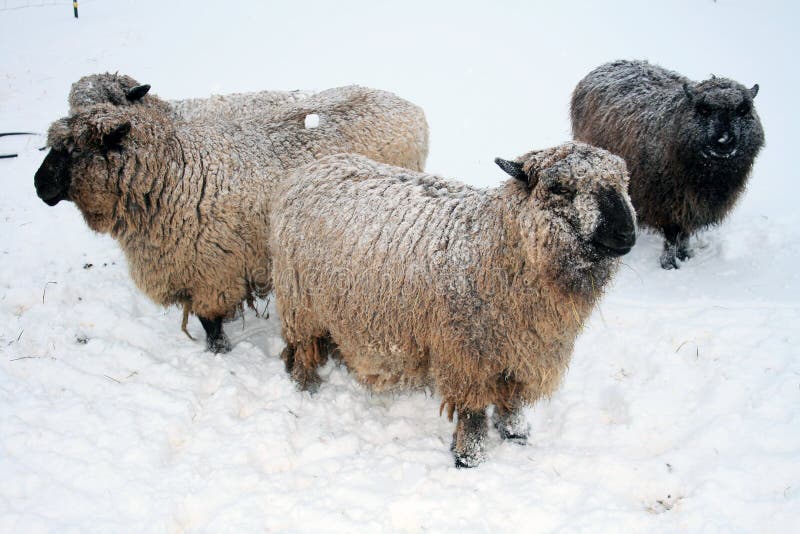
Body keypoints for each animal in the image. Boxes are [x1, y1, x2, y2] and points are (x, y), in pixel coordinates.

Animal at [34, 85, 429, 353]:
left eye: (76, 149)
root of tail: (409, 106)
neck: (170, 175)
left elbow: (210, 322)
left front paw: (218, 350)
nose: (38, 185)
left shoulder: (211, 271)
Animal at [270, 142, 637, 467]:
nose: (627, 234)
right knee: (302, 349)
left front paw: (516, 434)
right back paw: (307, 388)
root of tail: (314, 167)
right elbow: (473, 412)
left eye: (623, 183)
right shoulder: (467, 353)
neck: (498, 245)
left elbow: (512, 401)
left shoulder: (523, 350)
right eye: (560, 188)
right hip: (300, 303)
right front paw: (469, 456)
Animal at [571, 59, 764, 269]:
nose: (724, 141)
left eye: (743, 110)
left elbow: (685, 234)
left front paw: (686, 255)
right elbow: (672, 236)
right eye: (704, 110)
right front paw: (669, 263)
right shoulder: (668, 203)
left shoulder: (691, 206)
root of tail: (613, 62)